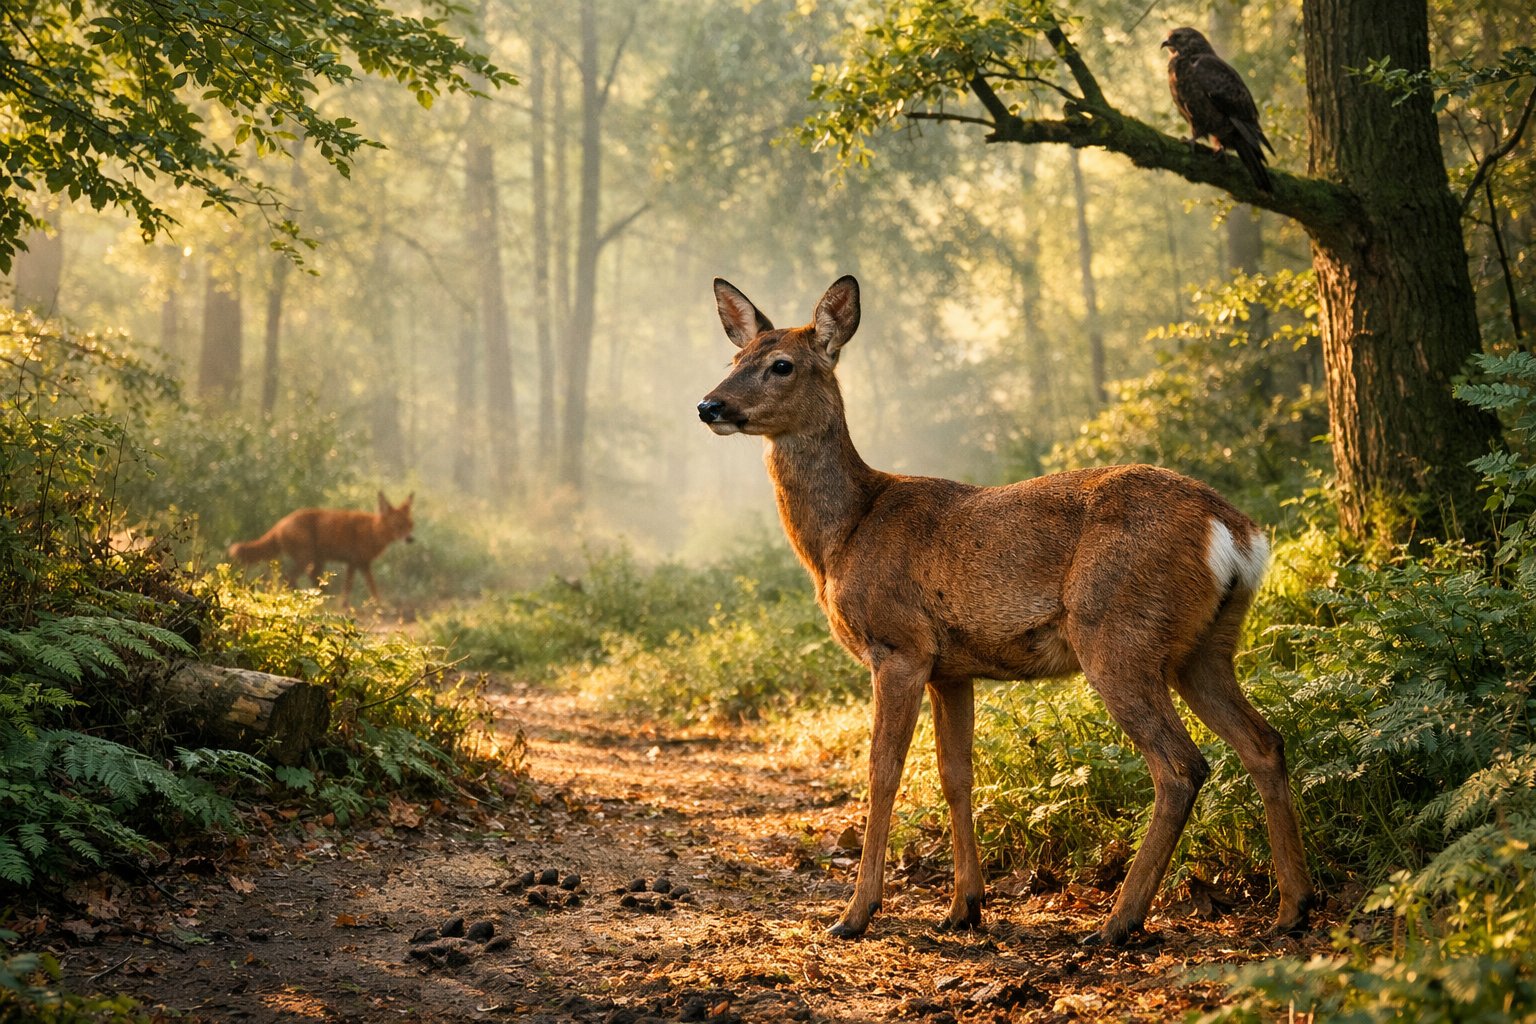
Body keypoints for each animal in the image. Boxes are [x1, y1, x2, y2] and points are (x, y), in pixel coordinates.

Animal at [696, 276, 1313, 946]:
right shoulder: (951, 666)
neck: (844, 534)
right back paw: (1293, 908)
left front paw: (856, 913)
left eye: (781, 365)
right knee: (1264, 742)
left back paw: (1117, 921)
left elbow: (884, 771)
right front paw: (964, 905)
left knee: (1180, 766)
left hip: (1117, 631)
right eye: (735, 358)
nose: (708, 406)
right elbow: (956, 773)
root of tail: (1234, 531)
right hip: (1204, 646)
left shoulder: (900, 645)